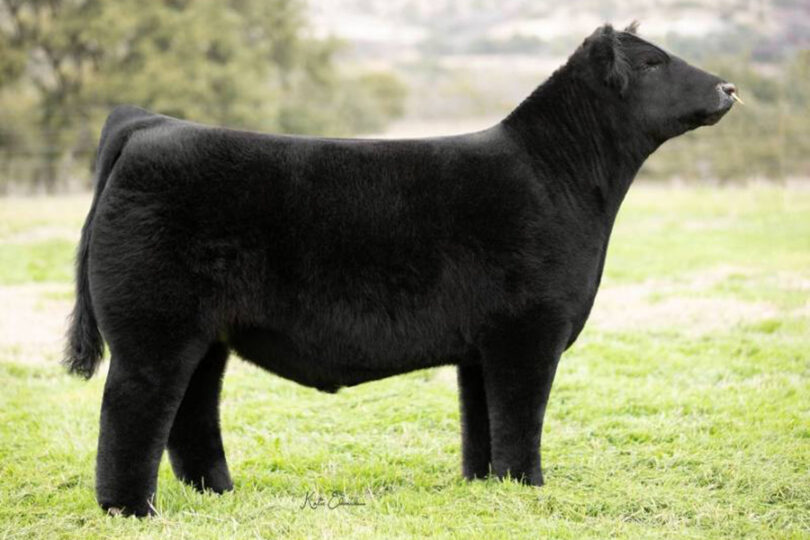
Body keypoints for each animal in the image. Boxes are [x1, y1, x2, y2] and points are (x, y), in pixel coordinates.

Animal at [65, 23, 738, 516]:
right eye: (651, 63)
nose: (728, 87)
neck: (558, 178)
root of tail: (150, 124)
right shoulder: (528, 333)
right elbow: (520, 419)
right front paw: (528, 486)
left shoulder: (482, 347)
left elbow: (481, 423)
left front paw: (486, 486)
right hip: (154, 329)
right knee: (132, 410)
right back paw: (131, 510)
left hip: (207, 336)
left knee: (191, 412)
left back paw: (219, 493)